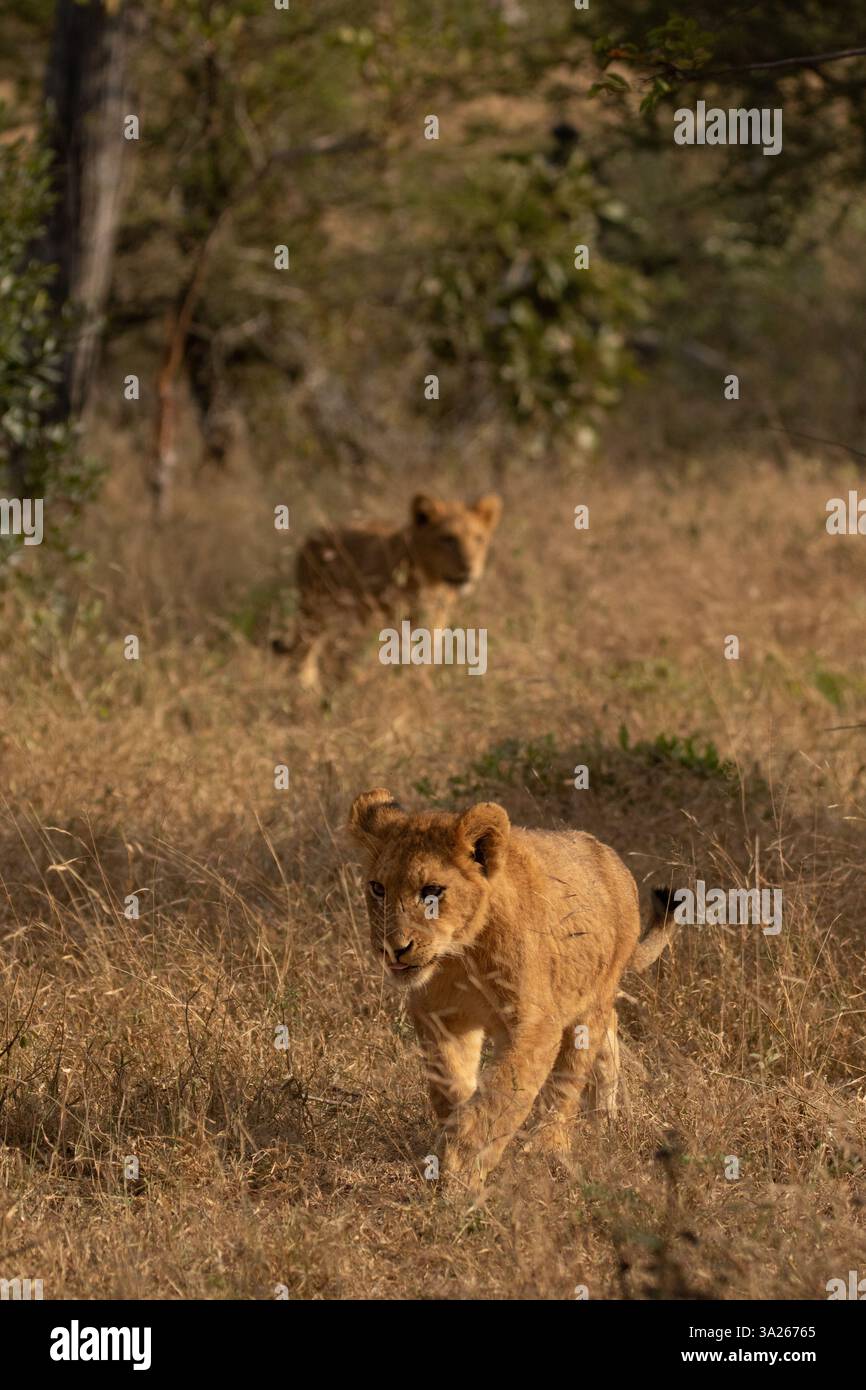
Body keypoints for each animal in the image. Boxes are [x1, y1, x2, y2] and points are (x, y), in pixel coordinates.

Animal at [273, 492, 502, 690]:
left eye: (479, 539)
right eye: (448, 539)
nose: (469, 568)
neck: (430, 584)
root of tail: (314, 534)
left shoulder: (431, 626)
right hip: (313, 611)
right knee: (305, 651)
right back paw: (306, 687)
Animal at [348, 788, 675, 1190]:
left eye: (432, 892)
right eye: (377, 889)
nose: (393, 947)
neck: (461, 955)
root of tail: (612, 858)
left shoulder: (535, 1024)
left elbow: (504, 1091)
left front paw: (462, 1163)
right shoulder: (441, 1018)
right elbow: (451, 1084)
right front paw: (454, 1141)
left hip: (588, 1002)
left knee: (568, 1080)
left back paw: (550, 1146)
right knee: (608, 1035)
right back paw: (607, 1118)